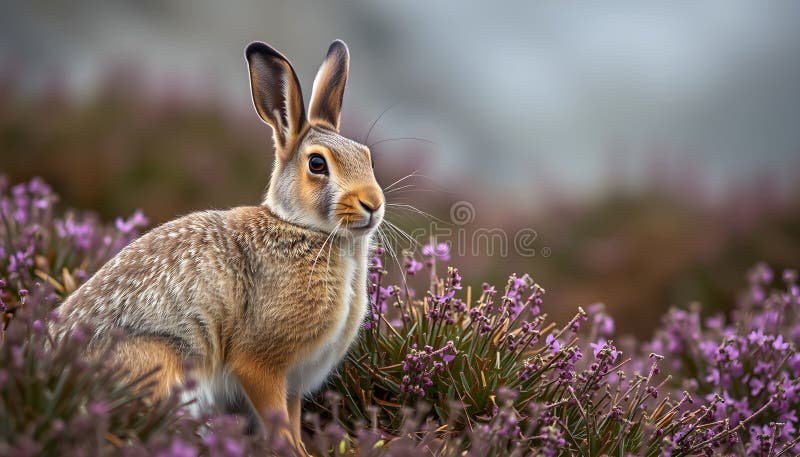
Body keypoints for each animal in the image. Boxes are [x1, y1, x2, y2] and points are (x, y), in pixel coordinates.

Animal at [55, 39, 384, 451]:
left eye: (367, 157)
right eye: (317, 165)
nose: (373, 203)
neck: (304, 228)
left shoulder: (294, 381)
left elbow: (291, 419)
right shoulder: (260, 363)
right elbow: (276, 420)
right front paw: (291, 451)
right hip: (163, 363)